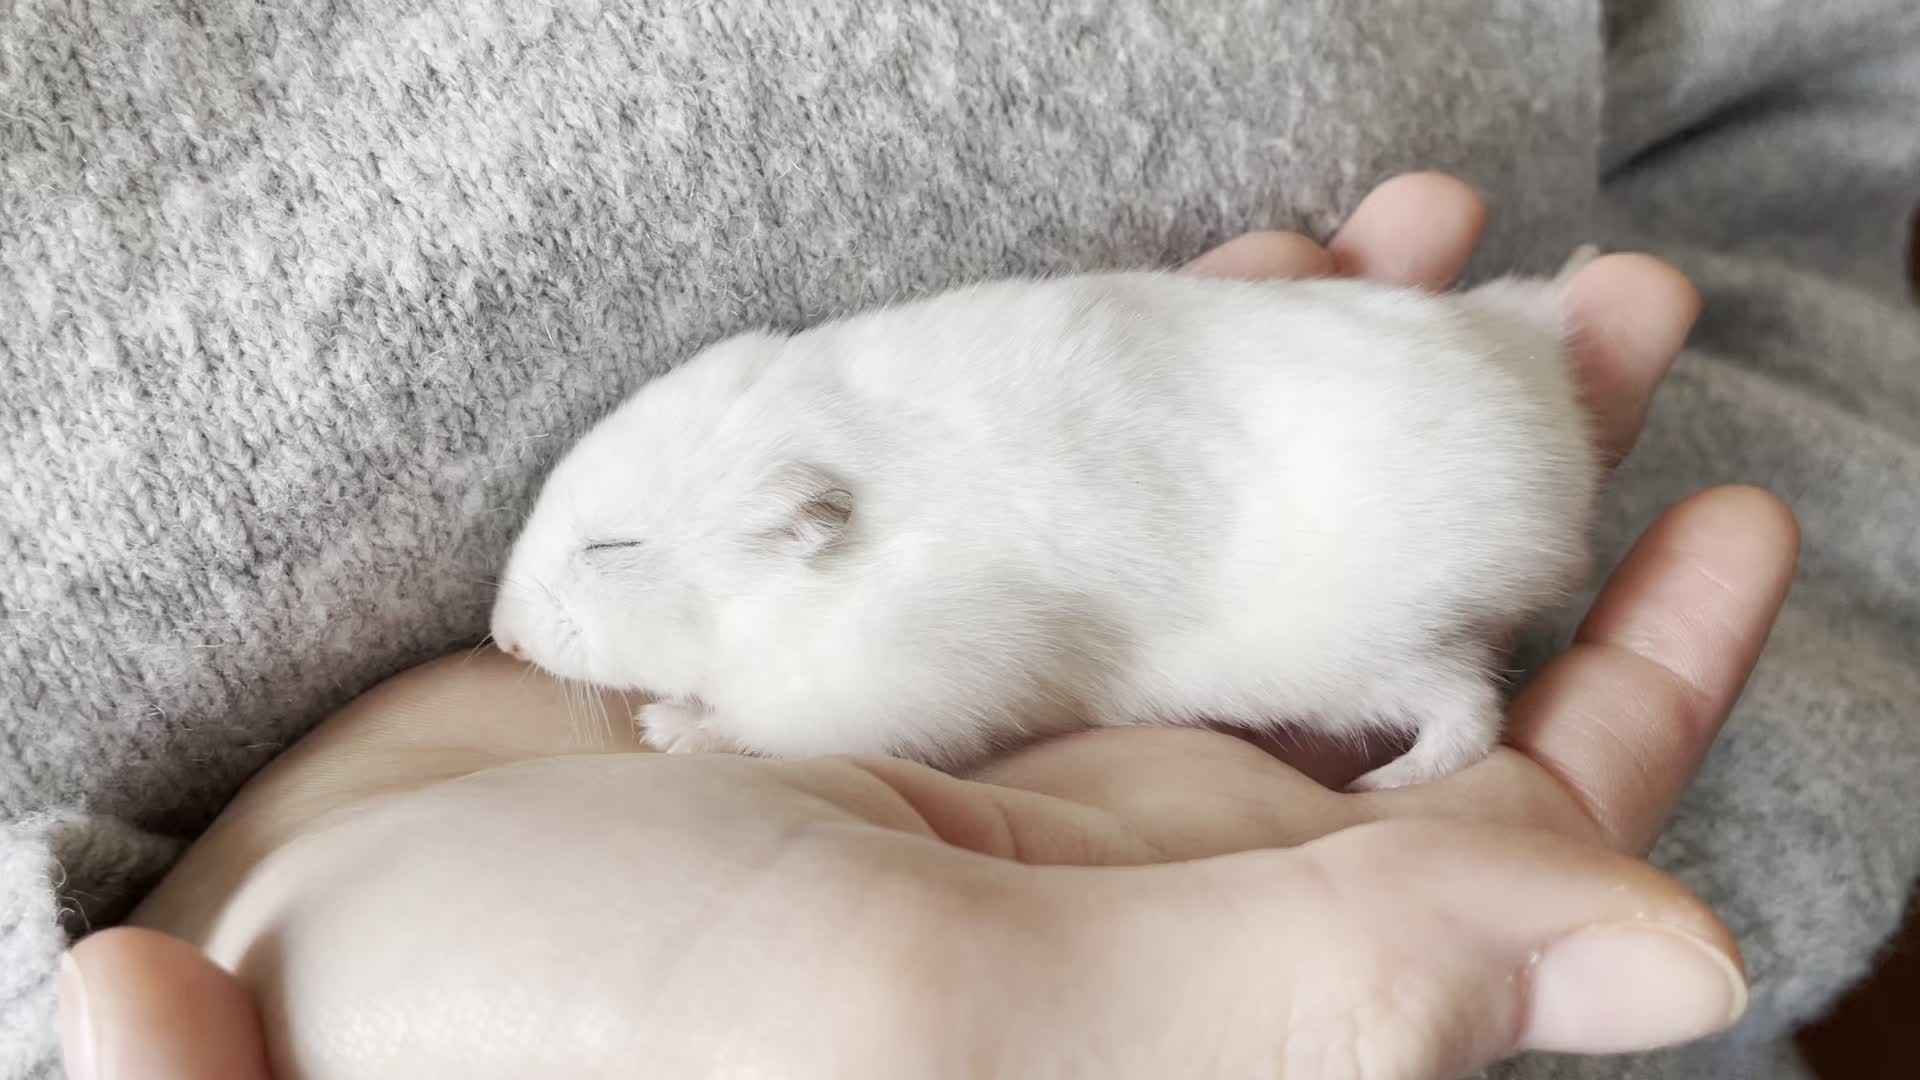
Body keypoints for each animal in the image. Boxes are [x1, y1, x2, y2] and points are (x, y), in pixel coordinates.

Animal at [491, 254, 1599, 790]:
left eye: (613, 548)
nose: (500, 638)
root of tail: (1558, 432)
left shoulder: (897, 675)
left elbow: (765, 723)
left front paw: (667, 725)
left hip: (1364, 658)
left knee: (1470, 714)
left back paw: (1386, 787)